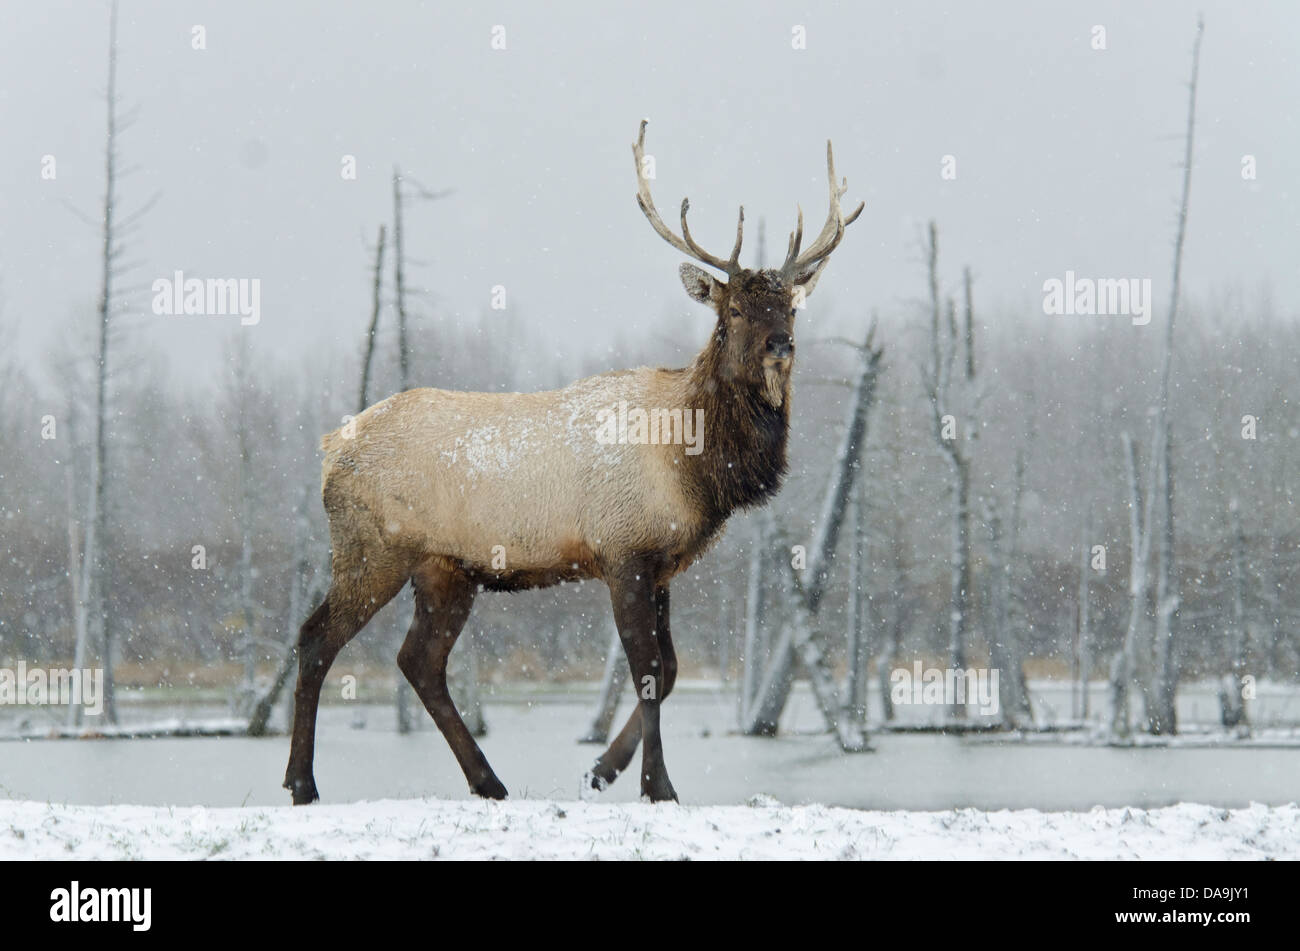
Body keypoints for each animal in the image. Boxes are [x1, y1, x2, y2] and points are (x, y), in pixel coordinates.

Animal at [283, 121, 863, 805]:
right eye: (735, 310)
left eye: (791, 305)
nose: (781, 345)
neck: (693, 467)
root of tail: (329, 448)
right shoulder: (623, 549)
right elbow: (646, 670)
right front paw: (655, 786)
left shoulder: (661, 563)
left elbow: (669, 671)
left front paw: (601, 770)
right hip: (373, 547)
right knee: (317, 637)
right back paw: (302, 782)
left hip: (445, 568)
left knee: (418, 661)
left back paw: (490, 783)